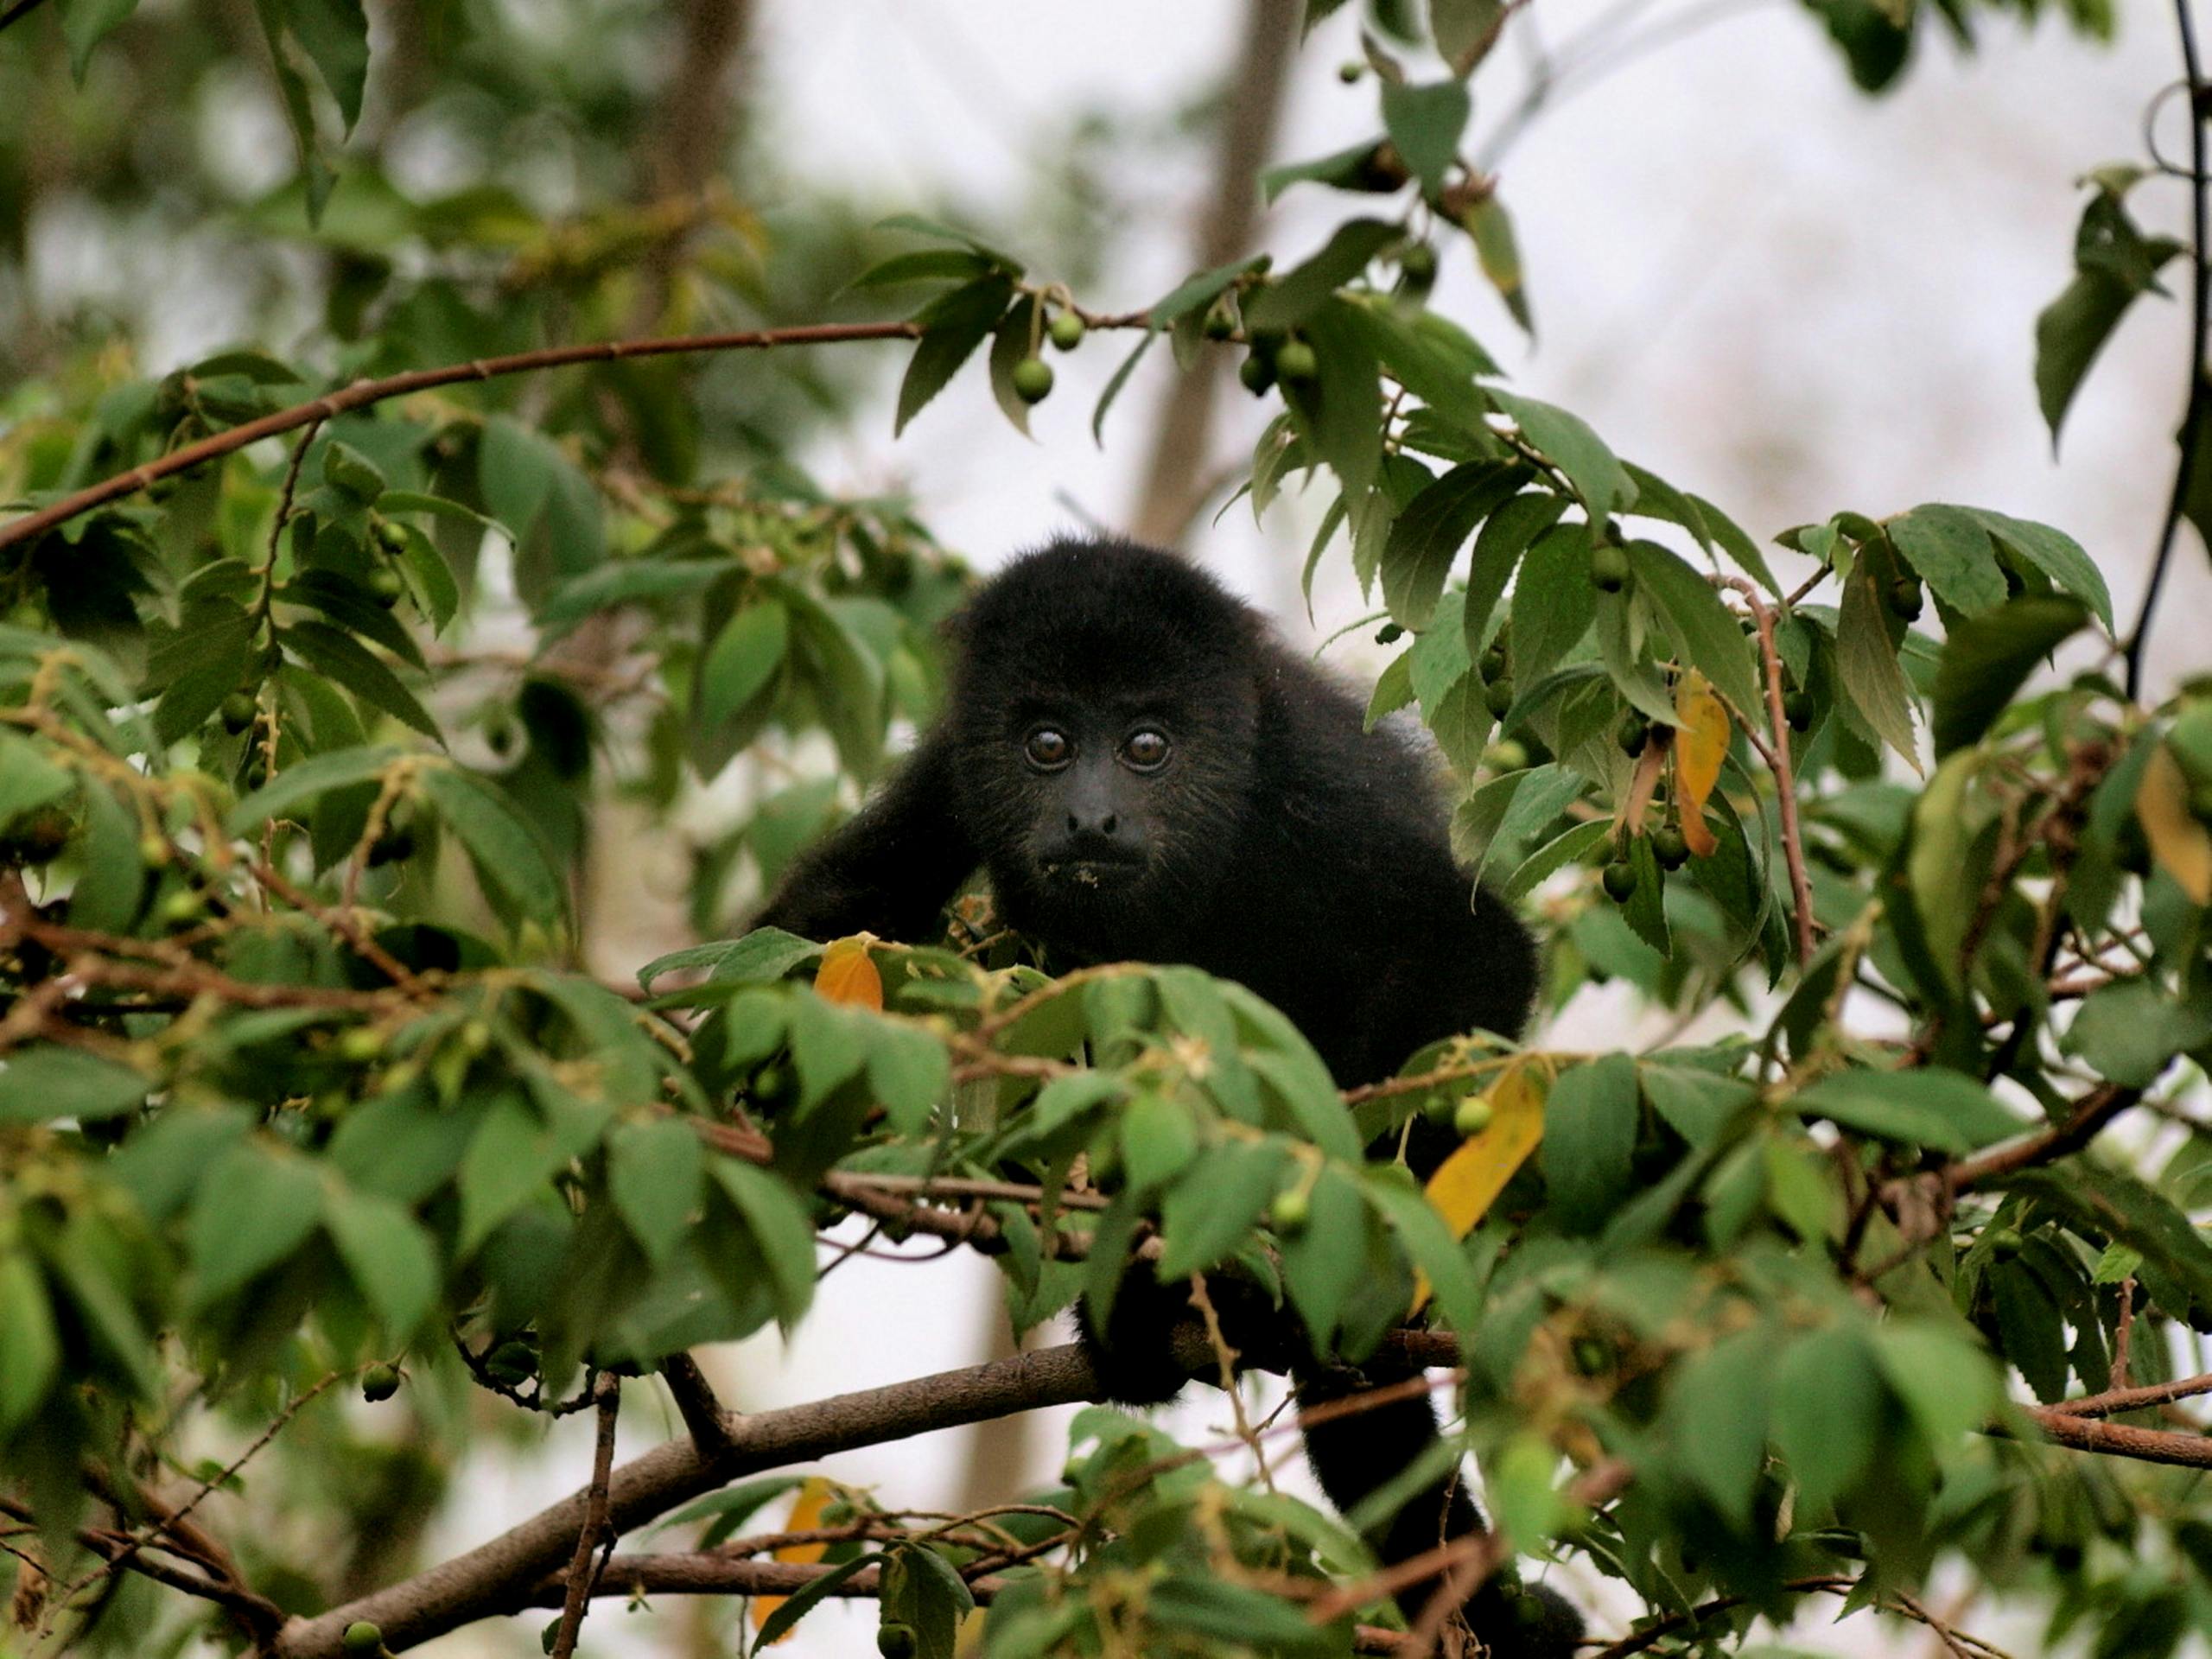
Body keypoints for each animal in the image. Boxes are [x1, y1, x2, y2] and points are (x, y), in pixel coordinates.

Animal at [755, 537, 1580, 1655]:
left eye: (1146, 746)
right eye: (1048, 744)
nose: (1091, 815)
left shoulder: (1318, 783)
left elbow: (1473, 947)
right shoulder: (952, 772)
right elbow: (838, 913)